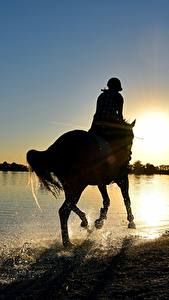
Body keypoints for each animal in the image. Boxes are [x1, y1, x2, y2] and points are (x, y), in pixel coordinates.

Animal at [26, 119, 136, 248]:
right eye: (131, 136)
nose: (129, 156)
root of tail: (54, 149)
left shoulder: (101, 182)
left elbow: (107, 200)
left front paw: (99, 221)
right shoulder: (122, 178)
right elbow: (126, 199)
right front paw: (130, 221)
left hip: (72, 185)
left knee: (68, 206)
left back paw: (83, 223)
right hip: (78, 185)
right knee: (64, 210)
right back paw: (68, 242)